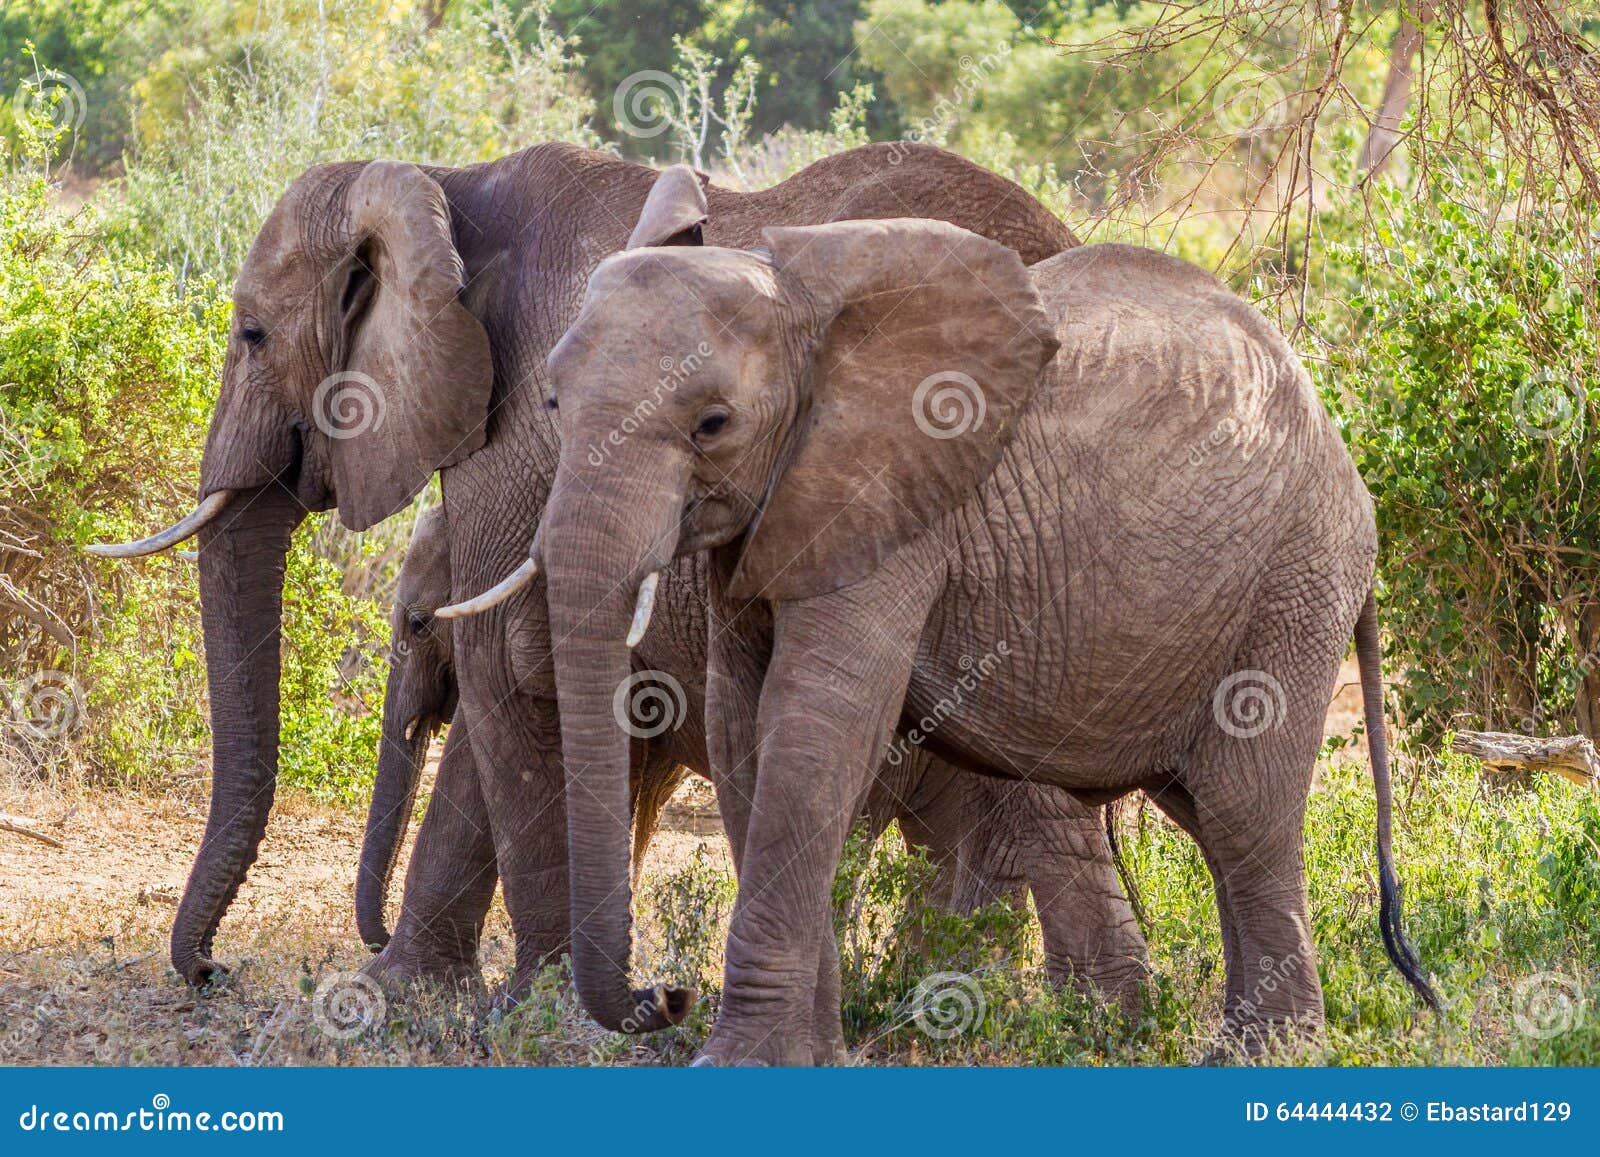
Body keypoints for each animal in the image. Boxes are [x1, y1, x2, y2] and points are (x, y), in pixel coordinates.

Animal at [452, 167, 1440, 1064]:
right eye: (552, 401)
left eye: (713, 424)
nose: (668, 994)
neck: (807, 313)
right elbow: (745, 733)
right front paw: (812, 1058)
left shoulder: (897, 510)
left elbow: (818, 727)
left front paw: (738, 1065)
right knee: (1203, 808)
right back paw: (1237, 1047)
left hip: (1295, 578)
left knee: (1244, 809)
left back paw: (1270, 1055)